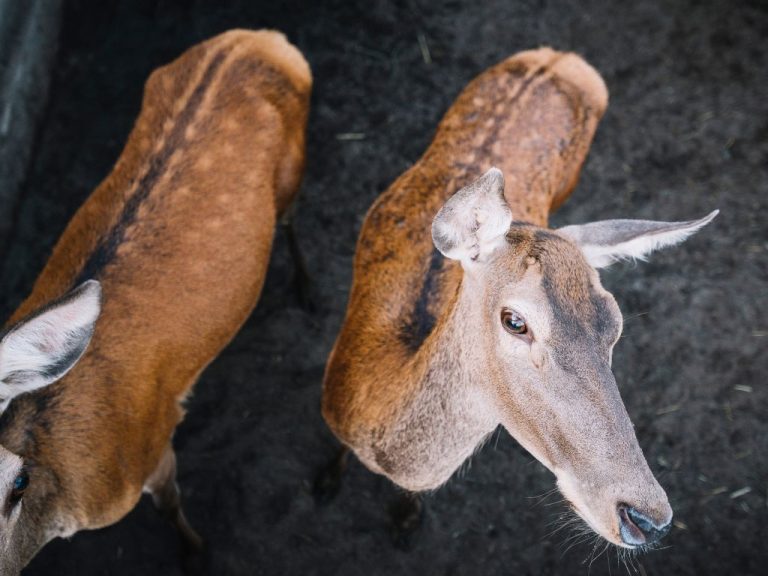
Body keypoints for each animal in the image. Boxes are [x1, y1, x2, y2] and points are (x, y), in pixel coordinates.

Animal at [0, 29, 311, 574]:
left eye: (16, 482)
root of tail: (261, 38)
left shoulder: (153, 447)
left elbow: (170, 504)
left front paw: (196, 553)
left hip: (295, 165)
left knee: (293, 219)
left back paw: (308, 291)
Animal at [321, 47, 717, 550]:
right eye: (514, 321)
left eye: (616, 325)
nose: (646, 516)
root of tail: (561, 57)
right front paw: (325, 482)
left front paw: (406, 522)